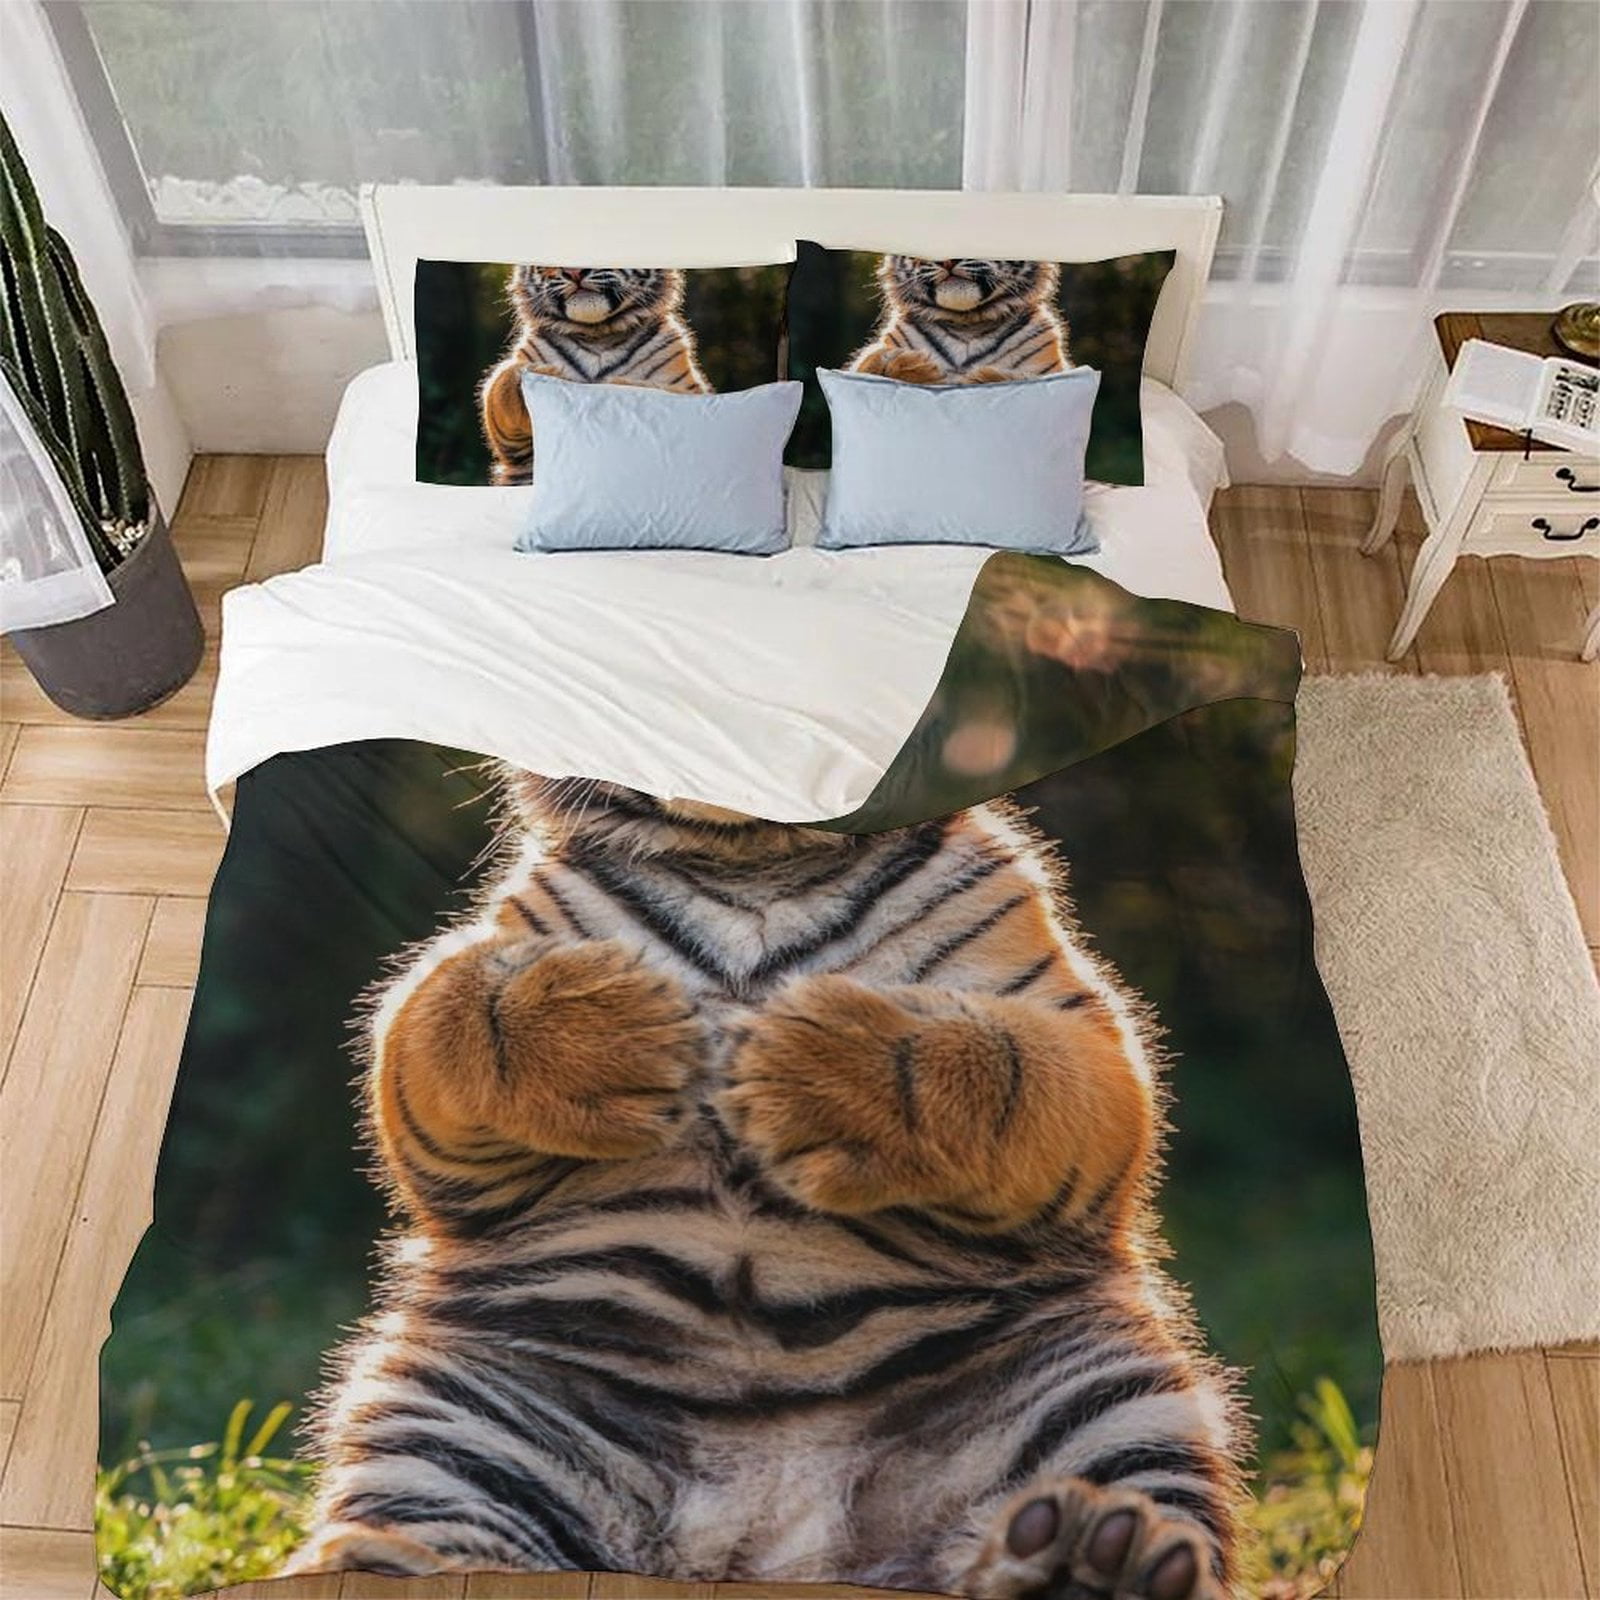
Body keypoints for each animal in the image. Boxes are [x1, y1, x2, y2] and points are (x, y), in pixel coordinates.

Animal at [288, 777, 1246, 1600]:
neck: (754, 868)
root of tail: (776, 1551)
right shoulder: (465, 1009)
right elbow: (450, 1017)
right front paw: (621, 1023)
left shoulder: (1076, 1030)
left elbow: (994, 1066)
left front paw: (808, 1057)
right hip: (454, 1414)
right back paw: (378, 1563)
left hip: (1106, 1394)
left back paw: (1093, 1560)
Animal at [480, 266, 711, 484]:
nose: (574, 271)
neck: (597, 334)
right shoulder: (518, 450)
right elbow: (503, 385)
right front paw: (547, 374)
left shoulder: (688, 388)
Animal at [848, 255, 1070, 389]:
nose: (947, 260)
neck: (966, 323)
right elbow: (872, 361)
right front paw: (918, 367)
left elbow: (1022, 377)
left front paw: (979, 378)